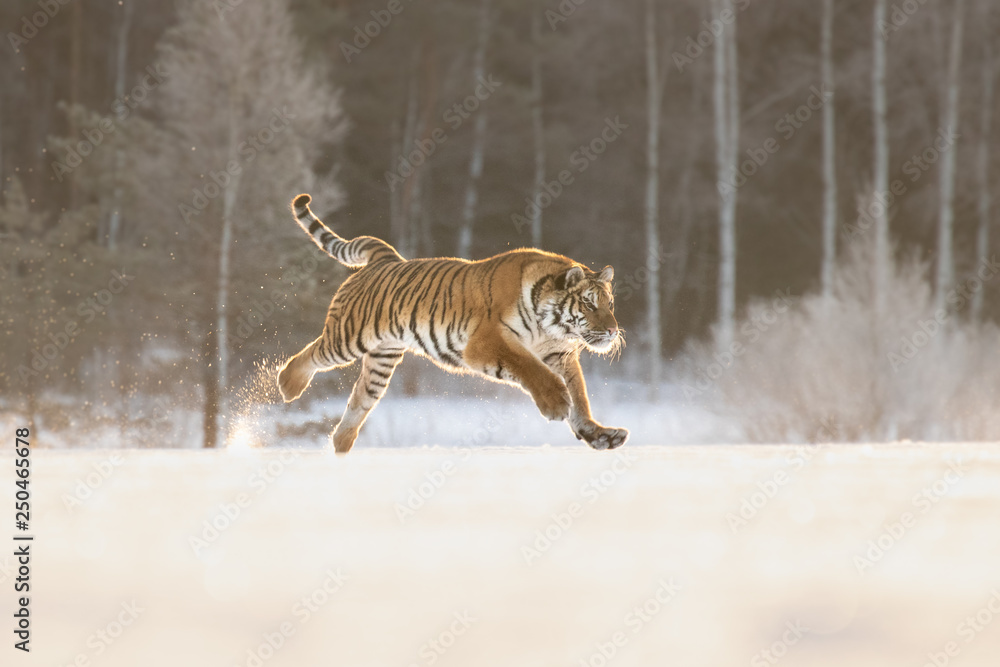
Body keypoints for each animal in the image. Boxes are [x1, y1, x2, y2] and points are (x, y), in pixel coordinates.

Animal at [277, 193, 629, 453]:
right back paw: (289, 384)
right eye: (589, 303)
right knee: (310, 354)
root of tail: (386, 257)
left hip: (382, 359)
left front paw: (599, 434)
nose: (613, 331)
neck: (552, 329)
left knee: (359, 402)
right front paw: (556, 403)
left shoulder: (560, 355)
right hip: (348, 338)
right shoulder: (488, 342)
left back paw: (341, 452)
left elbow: (580, 395)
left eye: (610, 305)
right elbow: (530, 368)